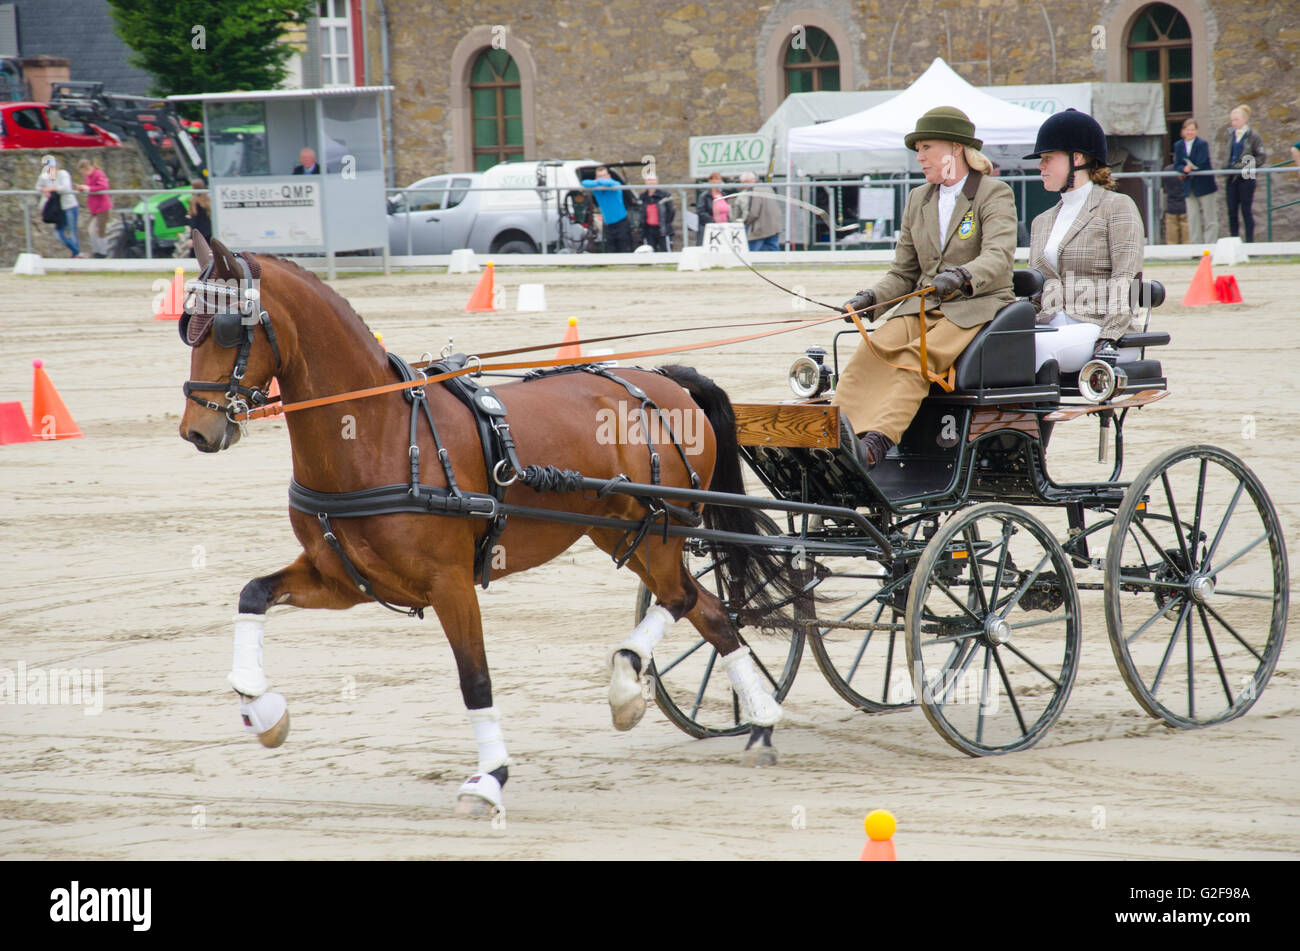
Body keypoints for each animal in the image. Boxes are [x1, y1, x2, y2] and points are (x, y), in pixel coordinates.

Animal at [177, 234, 799, 816]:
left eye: (228, 330)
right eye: (189, 327)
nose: (196, 432)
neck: (378, 431)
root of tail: (665, 379)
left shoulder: (450, 583)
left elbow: (475, 679)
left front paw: (490, 778)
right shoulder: (345, 580)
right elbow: (253, 594)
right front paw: (260, 707)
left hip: (663, 528)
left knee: (678, 599)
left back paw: (629, 684)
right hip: (624, 532)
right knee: (710, 610)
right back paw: (760, 722)